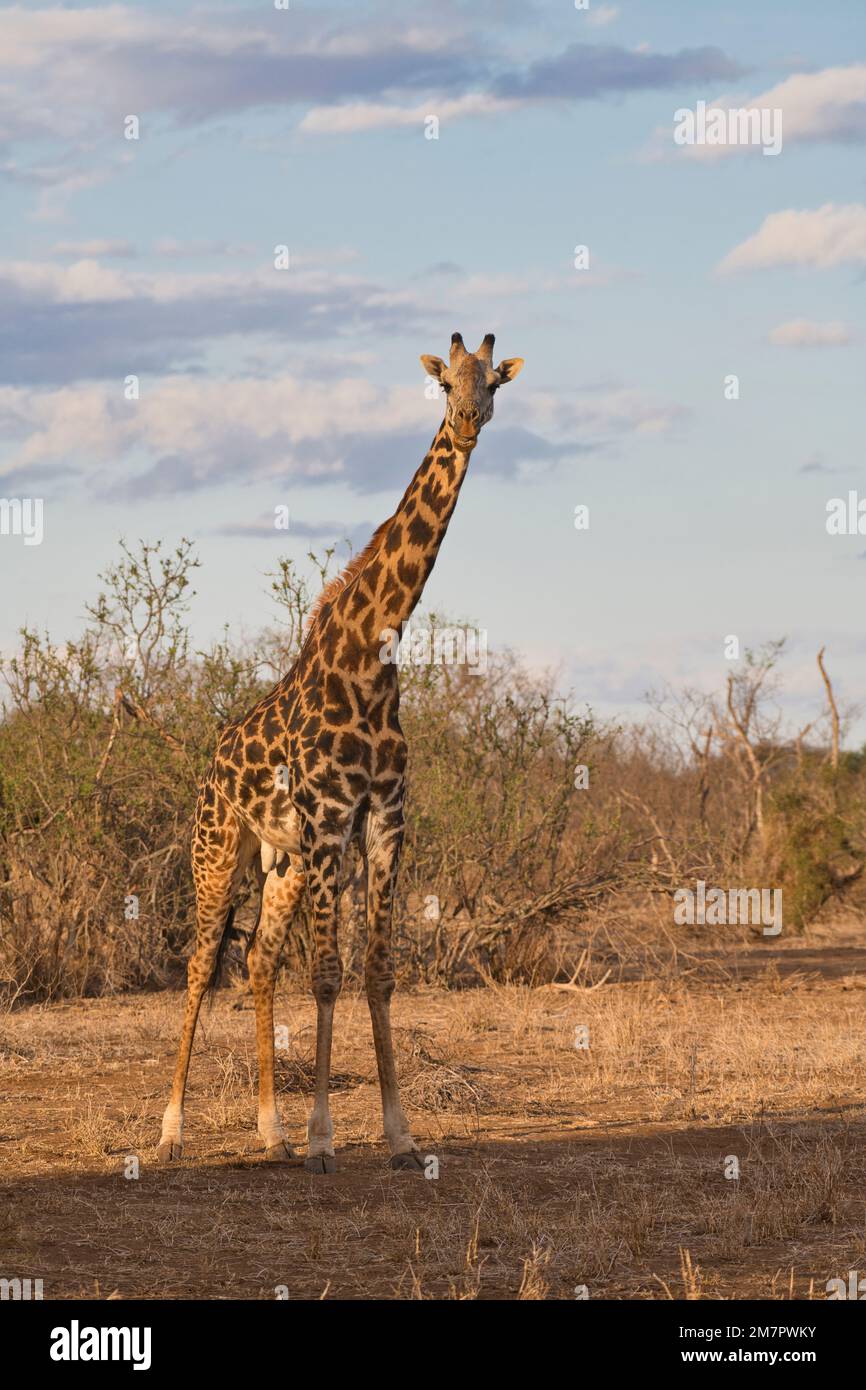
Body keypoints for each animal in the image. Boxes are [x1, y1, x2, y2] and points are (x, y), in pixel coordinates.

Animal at [157, 333, 524, 1171]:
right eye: (444, 384)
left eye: (492, 382)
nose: (467, 422)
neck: (371, 655)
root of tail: (211, 760)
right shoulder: (329, 817)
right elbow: (325, 974)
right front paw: (325, 1138)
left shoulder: (382, 819)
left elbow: (377, 973)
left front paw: (399, 1135)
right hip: (219, 847)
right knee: (200, 963)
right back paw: (169, 1132)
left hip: (283, 860)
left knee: (258, 962)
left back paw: (270, 1132)